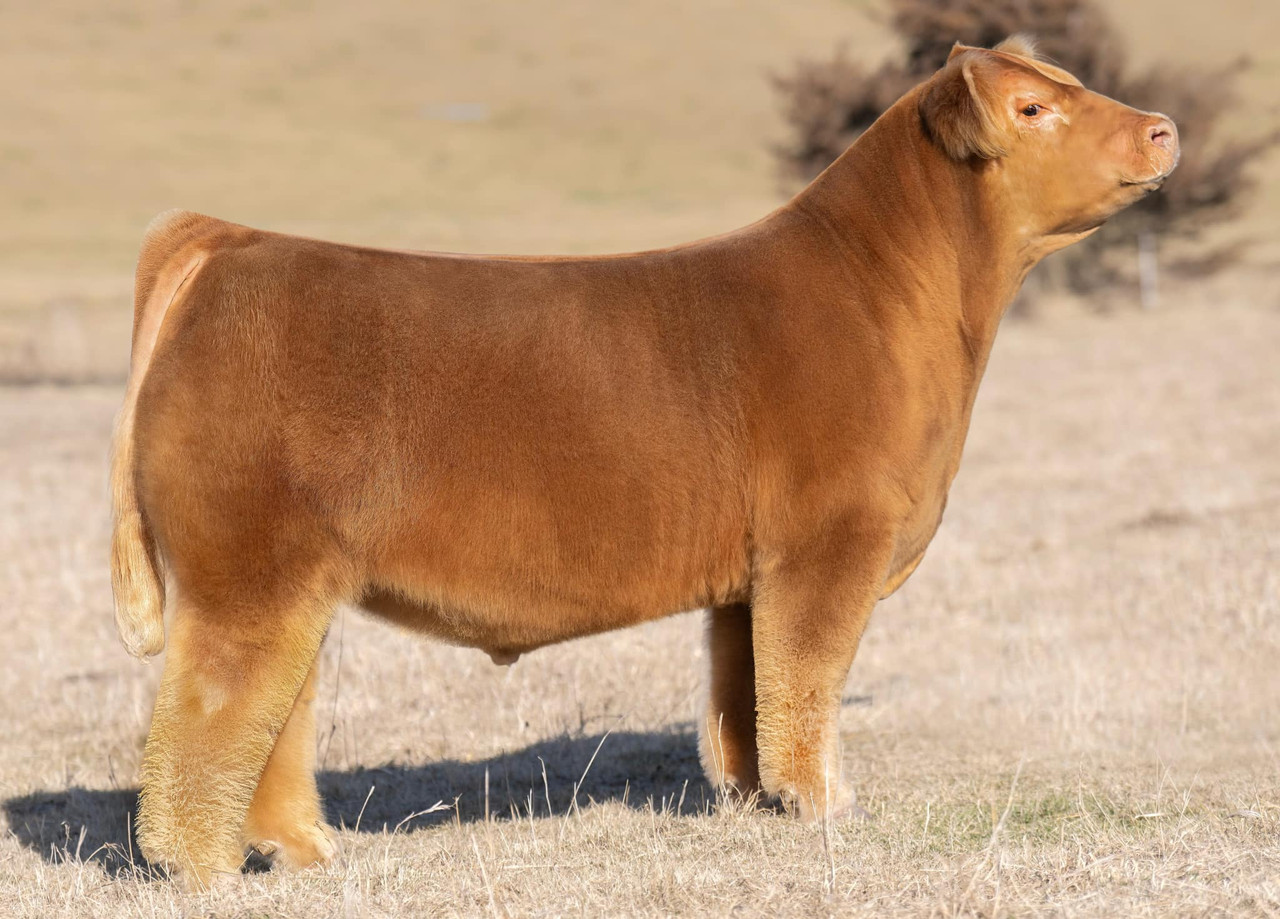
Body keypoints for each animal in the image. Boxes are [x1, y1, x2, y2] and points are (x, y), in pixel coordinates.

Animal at [109, 36, 1178, 888]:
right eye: (1033, 107)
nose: (1163, 128)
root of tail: (234, 243)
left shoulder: (754, 574)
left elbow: (747, 690)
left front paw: (757, 802)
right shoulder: (832, 542)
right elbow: (808, 682)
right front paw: (827, 807)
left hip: (288, 582)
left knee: (275, 718)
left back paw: (307, 851)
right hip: (245, 575)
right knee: (206, 722)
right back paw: (203, 871)